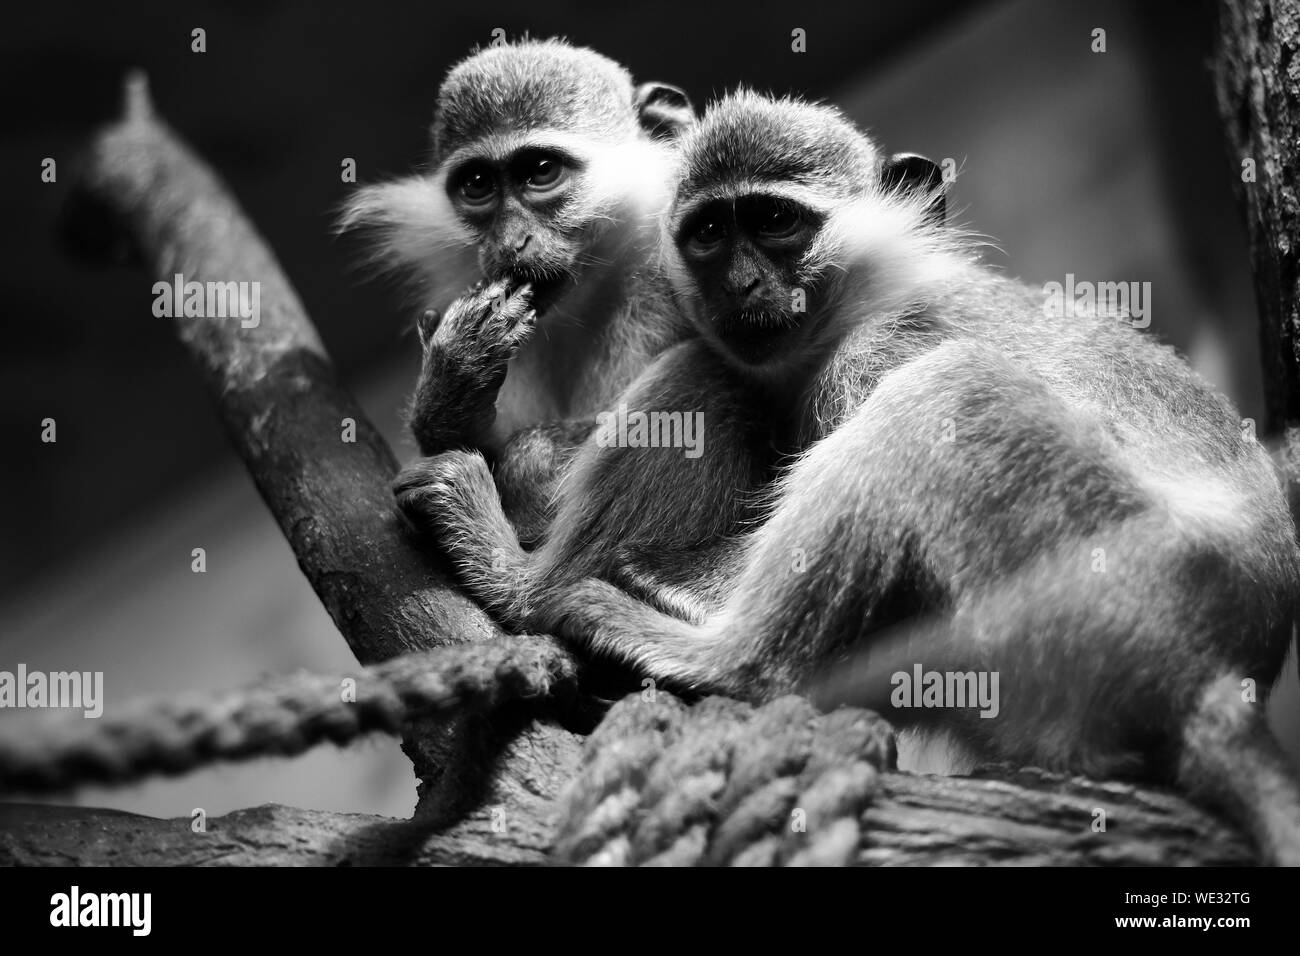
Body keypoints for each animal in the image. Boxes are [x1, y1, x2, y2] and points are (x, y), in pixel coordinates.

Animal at [396, 90, 1300, 863]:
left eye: (774, 220)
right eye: (708, 232)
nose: (740, 284)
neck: (868, 300)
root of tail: (1217, 675)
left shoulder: (873, 354)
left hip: (1115, 570)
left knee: (937, 399)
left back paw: (561, 599)